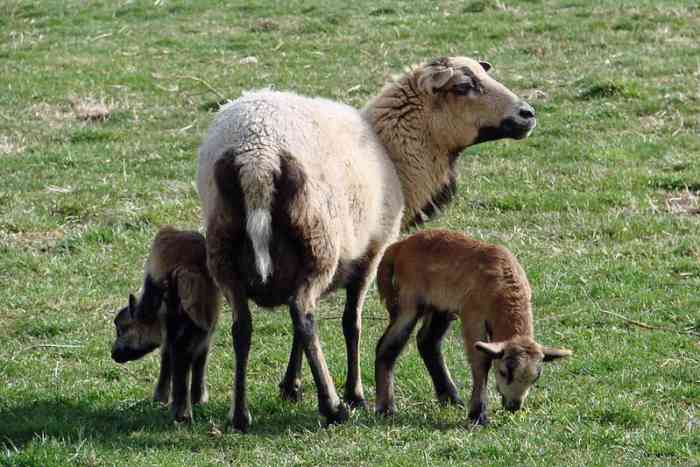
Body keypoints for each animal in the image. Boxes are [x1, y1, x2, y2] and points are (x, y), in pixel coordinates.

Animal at [111, 226, 220, 423]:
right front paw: (199, 399)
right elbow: (200, 360)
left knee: (178, 357)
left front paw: (160, 398)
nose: (113, 354)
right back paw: (187, 409)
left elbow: (166, 357)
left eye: (121, 328)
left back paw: (181, 414)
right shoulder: (206, 332)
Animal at [197, 56, 537, 431]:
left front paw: (291, 386)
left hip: (224, 249)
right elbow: (351, 323)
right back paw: (333, 407)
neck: (397, 153)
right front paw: (354, 393)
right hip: (318, 241)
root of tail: (256, 157)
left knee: (244, 327)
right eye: (464, 87)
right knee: (304, 316)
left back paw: (240, 415)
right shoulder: (371, 252)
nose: (527, 114)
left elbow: (299, 330)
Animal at [374, 229, 572, 425]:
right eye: (503, 372)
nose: (513, 406)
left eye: (535, 378)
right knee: (387, 346)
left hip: (441, 306)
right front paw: (478, 414)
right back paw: (386, 408)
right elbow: (481, 361)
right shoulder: (473, 316)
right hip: (409, 301)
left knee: (427, 341)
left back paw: (450, 397)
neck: (504, 287)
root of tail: (398, 247)